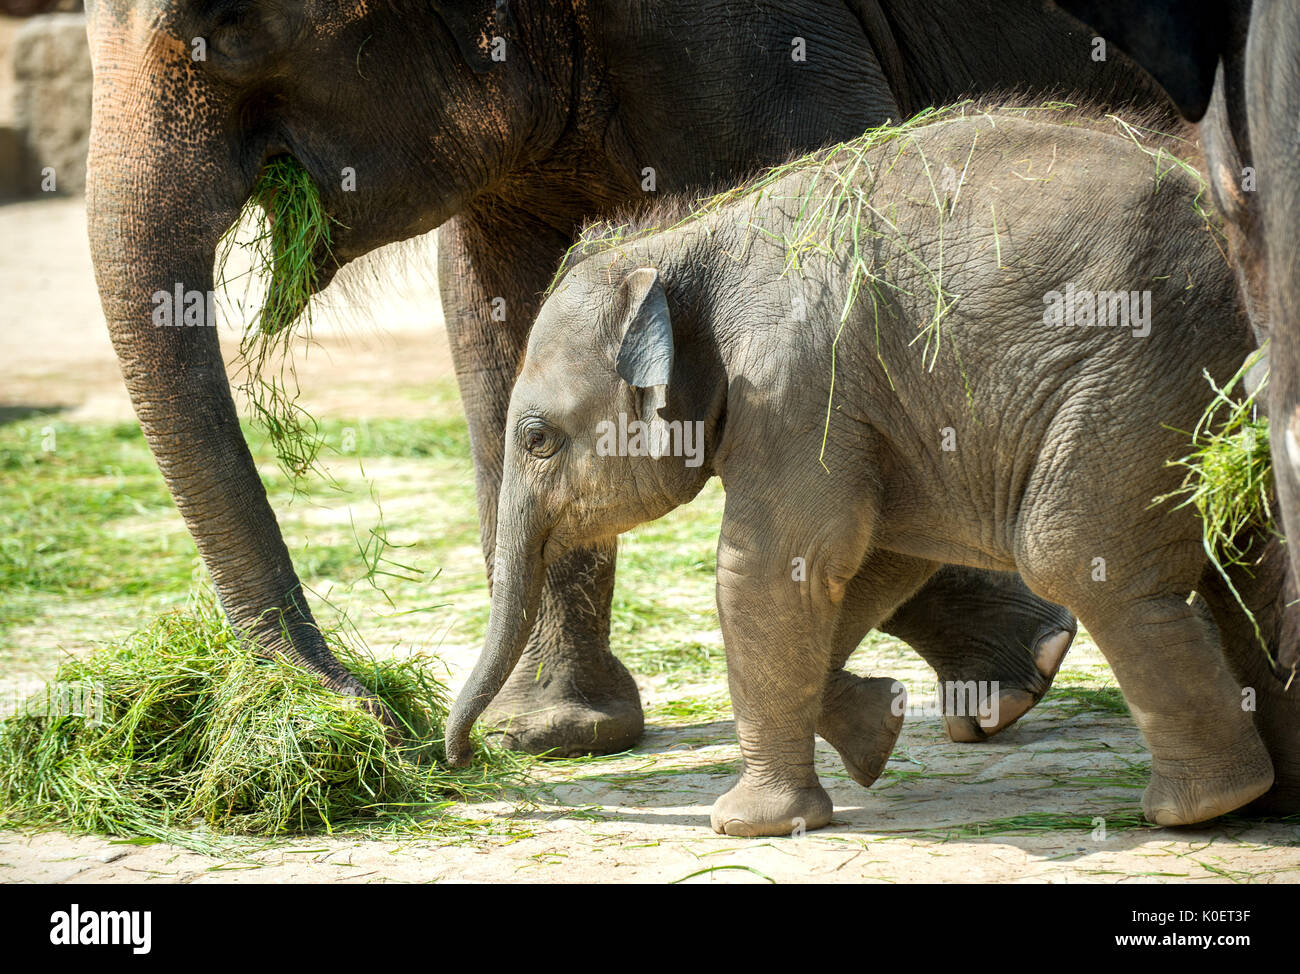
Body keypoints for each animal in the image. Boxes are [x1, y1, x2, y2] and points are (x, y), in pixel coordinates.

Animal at [86, 0, 1173, 755]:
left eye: (229, 23)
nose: (373, 712)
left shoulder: (752, 37)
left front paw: (1015, 676)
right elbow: (496, 312)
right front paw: (556, 736)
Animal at [445, 107, 1287, 836]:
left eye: (537, 438)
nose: (463, 756)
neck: (689, 240)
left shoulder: (795, 389)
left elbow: (771, 566)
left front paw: (748, 826)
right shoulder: (871, 417)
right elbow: (875, 560)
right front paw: (877, 729)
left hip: (1142, 367)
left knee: (1076, 554)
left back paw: (1200, 809)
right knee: (1249, 559)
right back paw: (1269, 800)